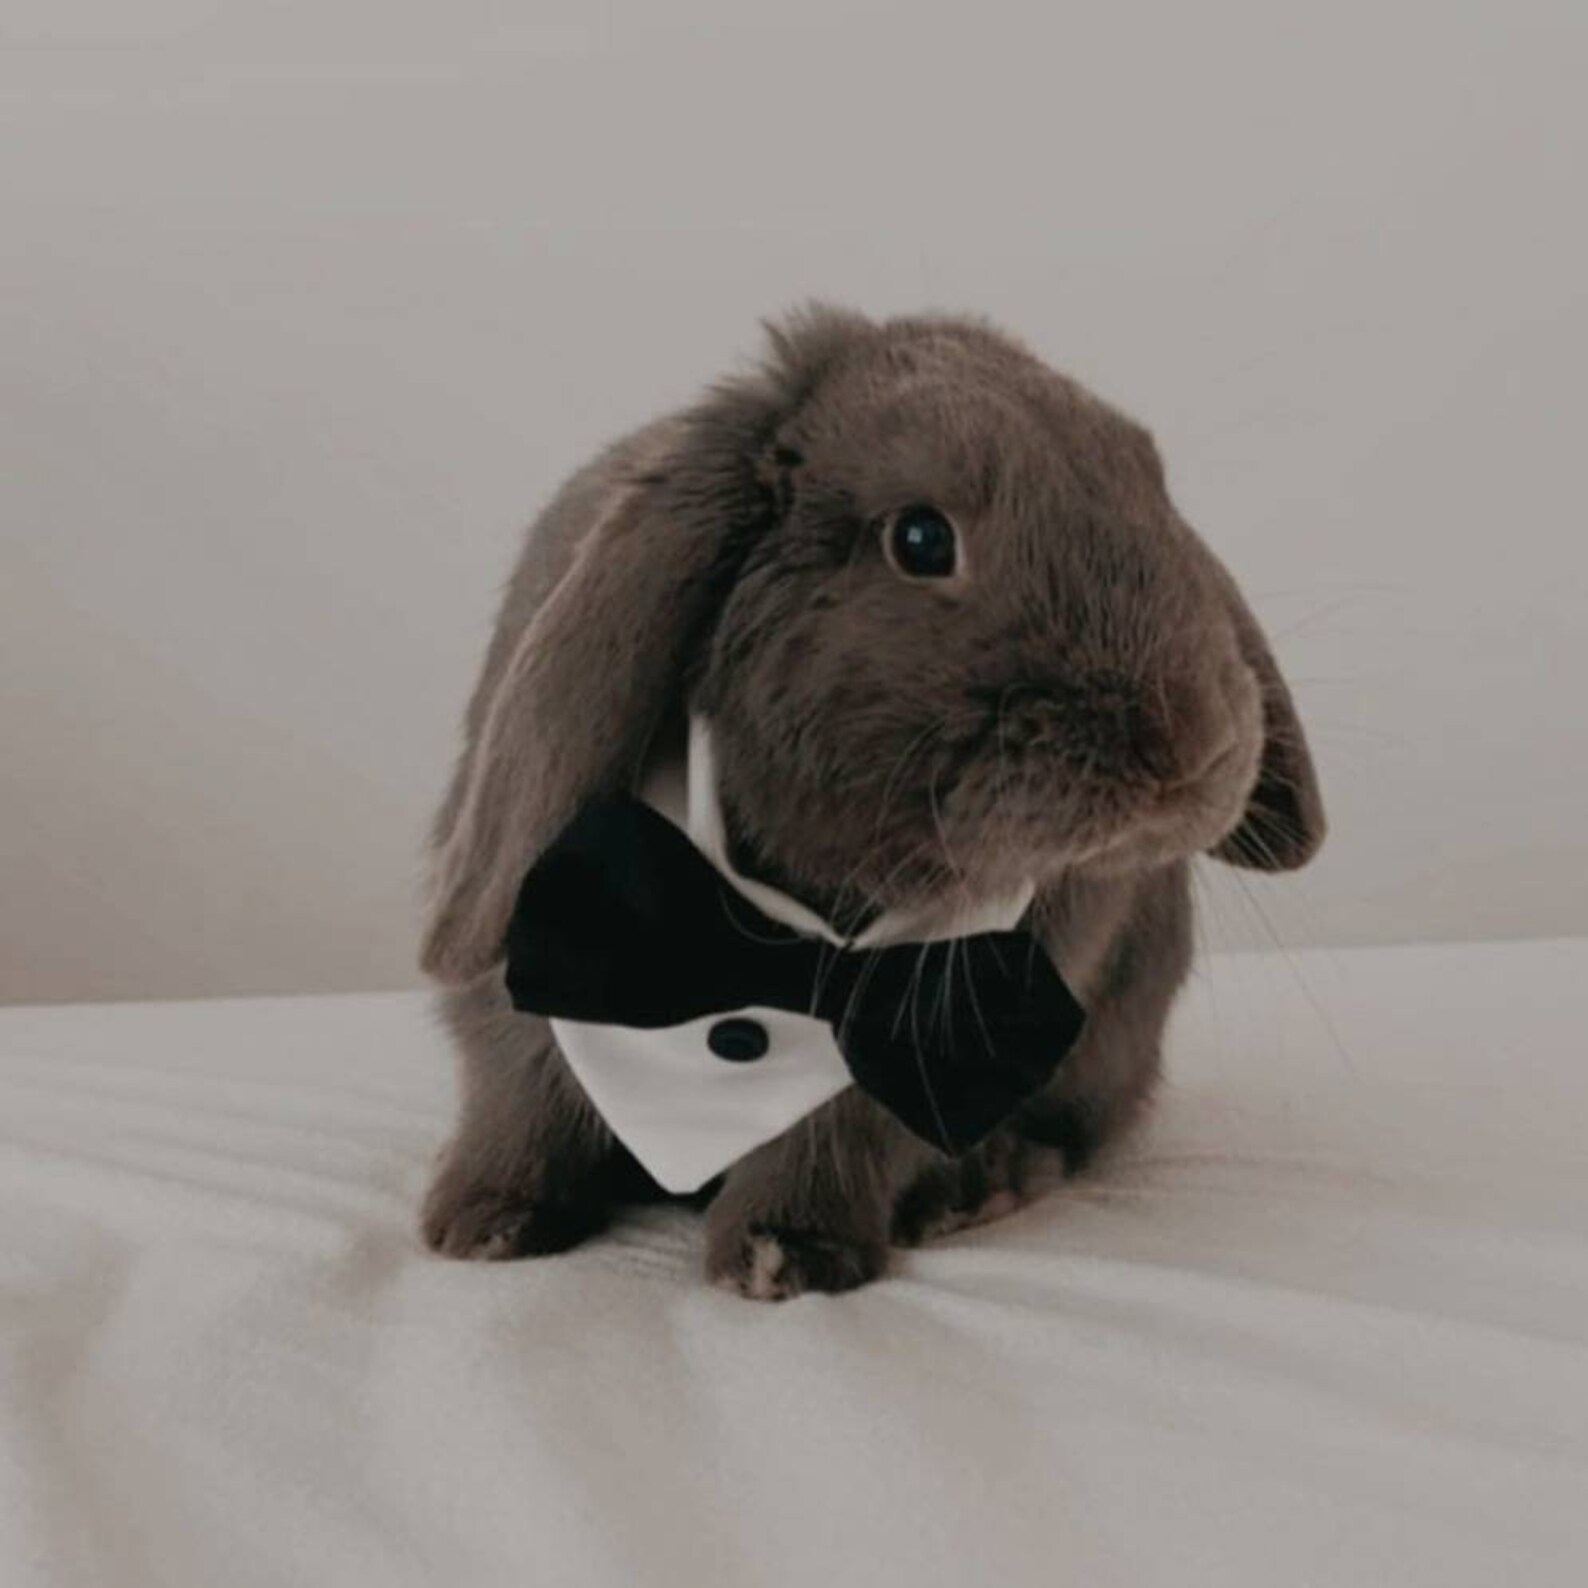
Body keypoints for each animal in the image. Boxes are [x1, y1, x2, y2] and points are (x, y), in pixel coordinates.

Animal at [417, 305, 1325, 1299]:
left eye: (1153, 489)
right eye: (921, 539)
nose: (1192, 751)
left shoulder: (928, 1043)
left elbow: (839, 1131)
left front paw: (784, 1258)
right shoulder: (533, 971)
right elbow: (523, 1096)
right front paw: (483, 1222)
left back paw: (984, 1186)